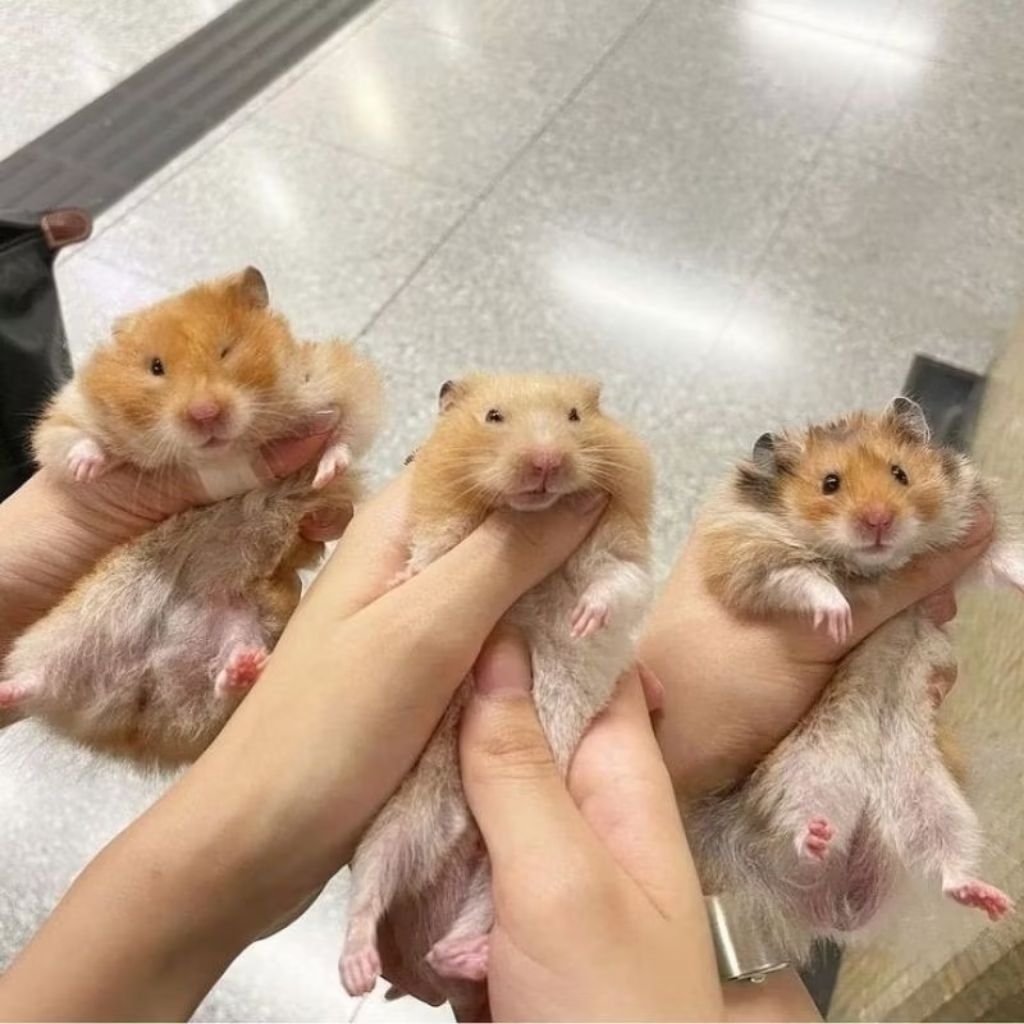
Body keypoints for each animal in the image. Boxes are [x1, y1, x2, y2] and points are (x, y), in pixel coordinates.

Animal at [0, 268, 382, 768]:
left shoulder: (338, 379)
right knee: (34, 683)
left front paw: (324, 477)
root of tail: (139, 716)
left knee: (223, 680)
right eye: (155, 367)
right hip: (64, 635)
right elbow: (72, 442)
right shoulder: (68, 412)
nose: (205, 414)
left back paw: (243, 668)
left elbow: (345, 433)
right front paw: (89, 470)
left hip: (245, 620)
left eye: (226, 350)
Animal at [339, 374, 654, 1011]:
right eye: (493, 417)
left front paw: (583, 622)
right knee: (369, 894)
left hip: (514, 868)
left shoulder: (624, 558)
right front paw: (401, 580)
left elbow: (614, 583)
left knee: (468, 928)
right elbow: (428, 558)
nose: (546, 461)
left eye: (575, 416)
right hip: (396, 829)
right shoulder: (439, 532)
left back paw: (465, 957)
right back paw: (360, 969)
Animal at [687, 397, 1018, 963]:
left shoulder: (968, 540)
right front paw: (839, 619)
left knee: (945, 862)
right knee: (798, 833)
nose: (879, 521)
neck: (876, 566)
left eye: (900, 473)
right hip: (799, 780)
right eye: (830, 484)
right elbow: (804, 577)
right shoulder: (746, 554)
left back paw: (991, 901)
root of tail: (837, 902)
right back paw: (816, 837)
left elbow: (1000, 558)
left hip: (934, 801)